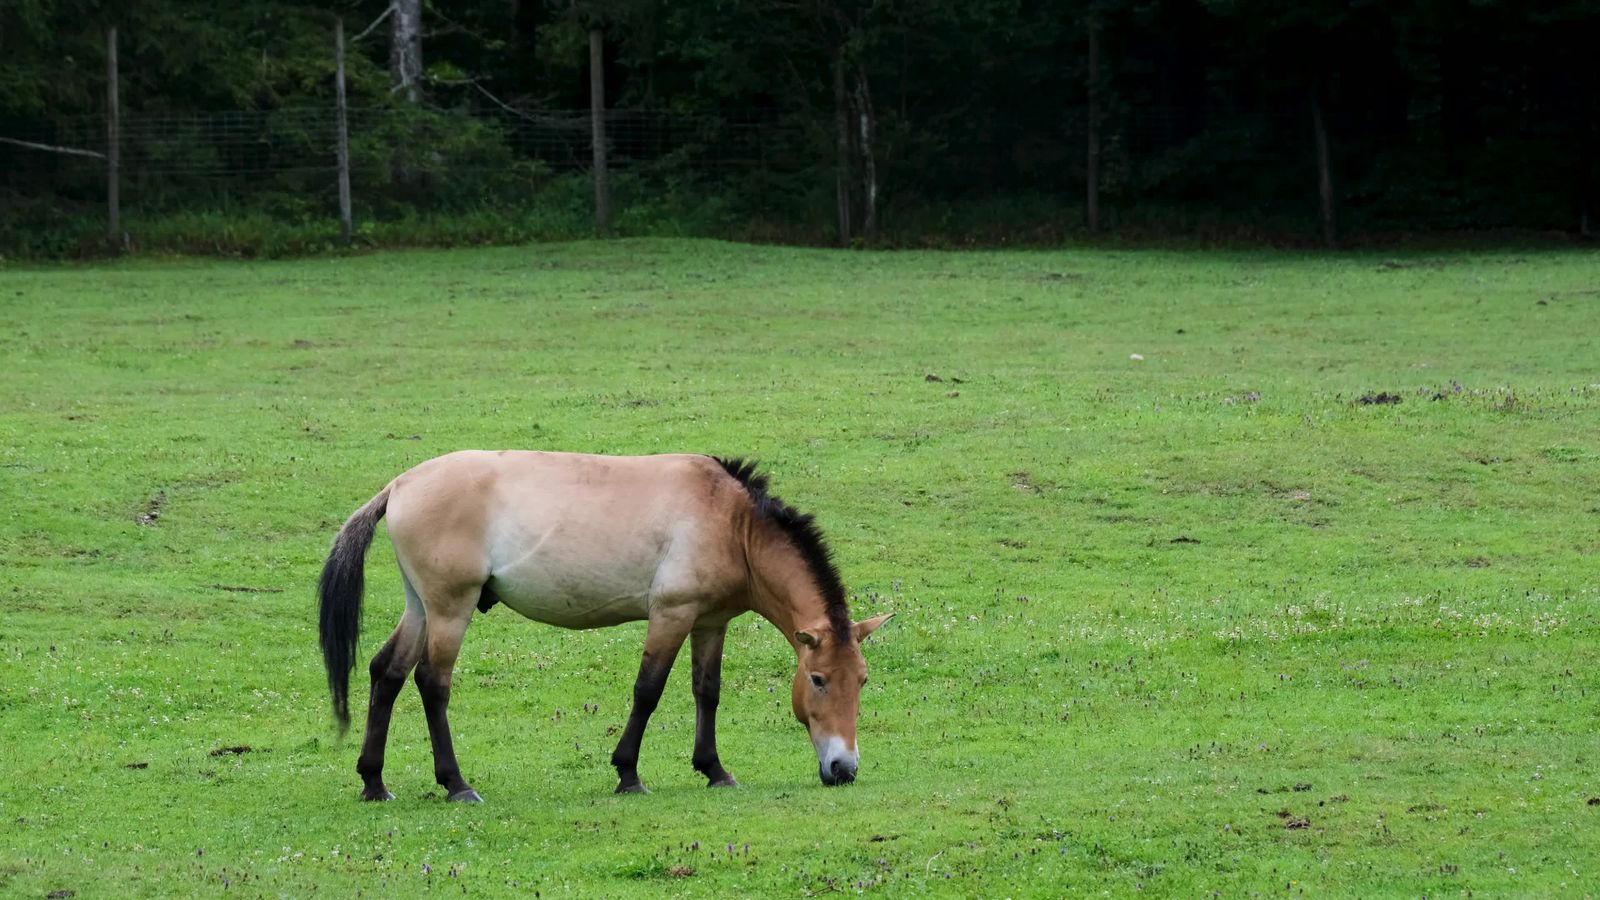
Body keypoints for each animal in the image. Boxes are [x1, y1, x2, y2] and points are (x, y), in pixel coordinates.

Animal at [317, 450, 893, 802]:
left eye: (862, 681)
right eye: (818, 679)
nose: (844, 770)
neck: (732, 522)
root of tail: (400, 485)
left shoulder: (710, 622)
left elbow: (706, 692)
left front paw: (714, 770)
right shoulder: (671, 614)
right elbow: (648, 691)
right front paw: (628, 773)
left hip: (421, 607)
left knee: (387, 673)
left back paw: (374, 782)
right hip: (449, 610)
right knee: (431, 684)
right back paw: (456, 784)